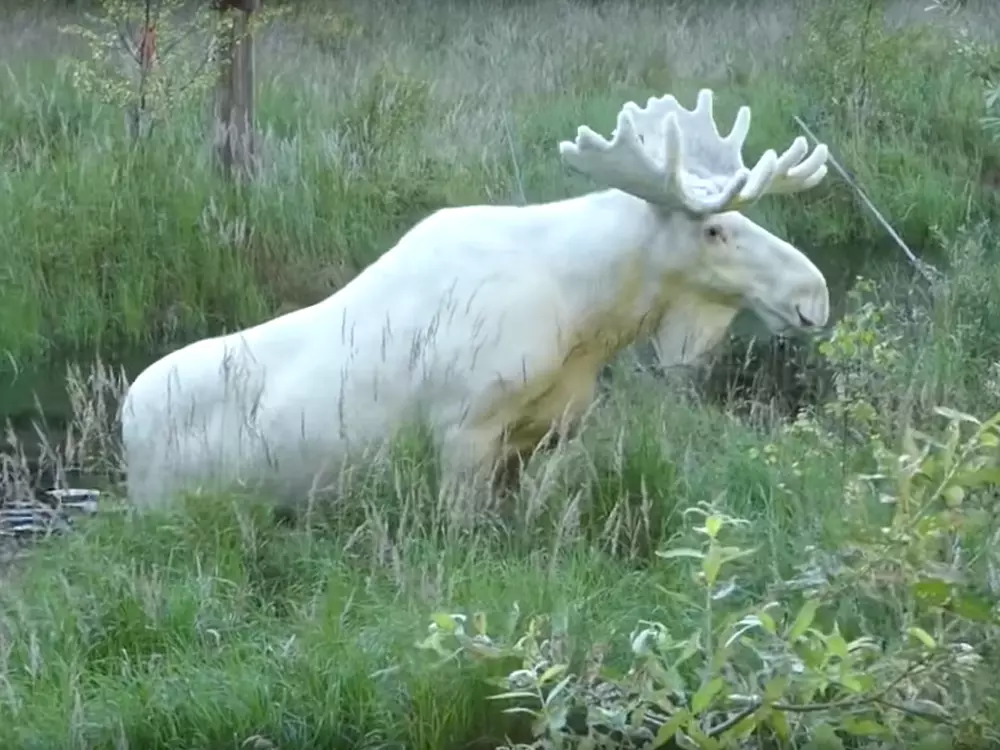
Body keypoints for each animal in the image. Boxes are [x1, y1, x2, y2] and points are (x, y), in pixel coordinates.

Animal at [121, 88, 832, 512]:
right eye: (715, 230)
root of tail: (124, 422)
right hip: (166, 508)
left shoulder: (539, 437)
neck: (589, 316)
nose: (813, 293)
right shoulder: (461, 431)